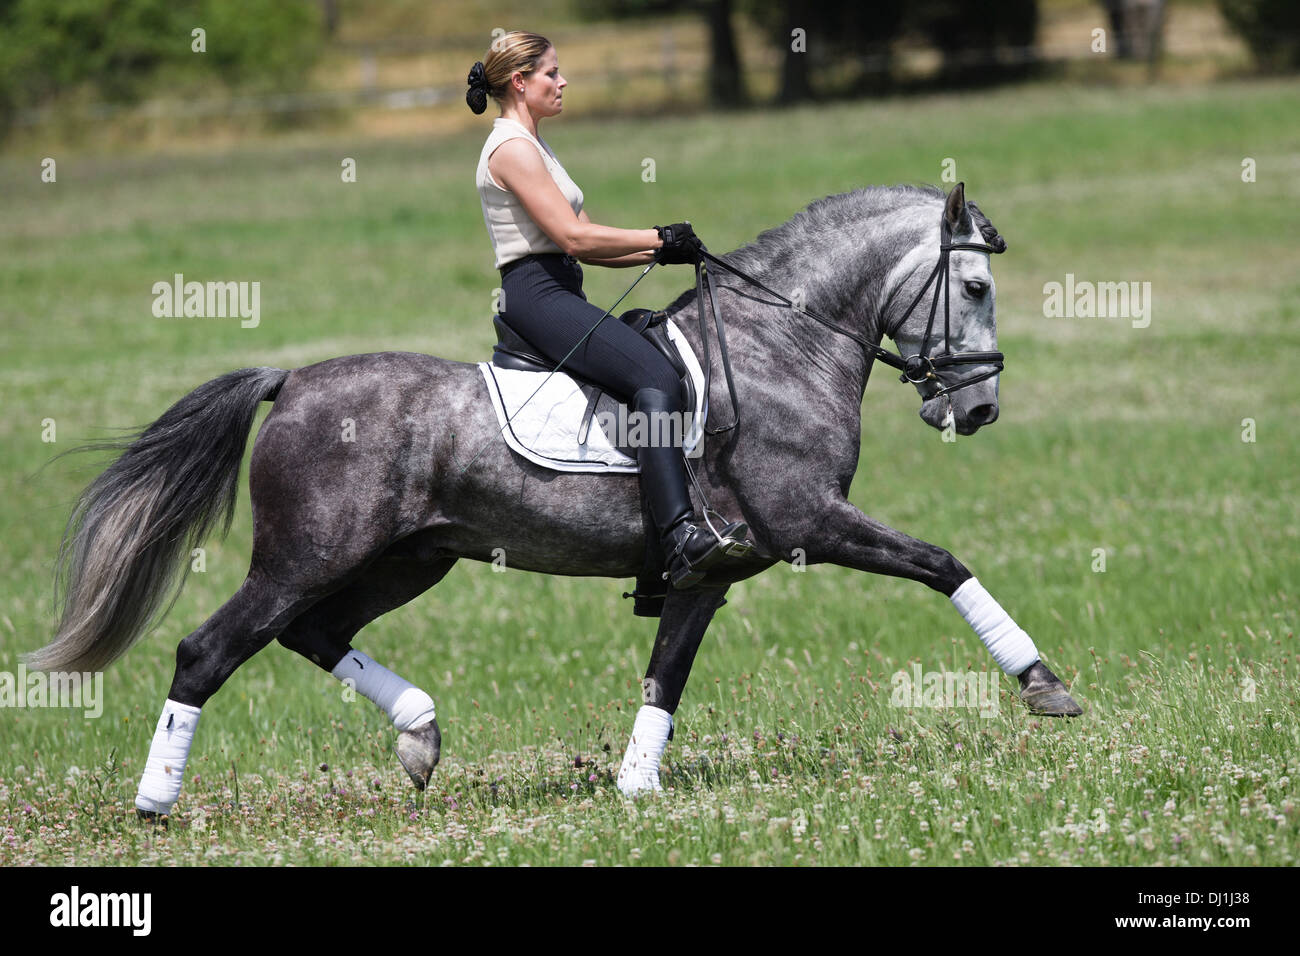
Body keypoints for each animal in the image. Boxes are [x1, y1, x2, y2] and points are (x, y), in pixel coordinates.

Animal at [30, 182, 1082, 817]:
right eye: (975, 286)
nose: (978, 407)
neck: (781, 344)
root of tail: (291, 382)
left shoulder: (711, 571)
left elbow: (666, 677)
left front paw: (636, 789)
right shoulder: (809, 524)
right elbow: (944, 564)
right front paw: (1043, 684)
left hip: (408, 560)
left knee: (314, 633)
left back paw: (420, 736)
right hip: (308, 555)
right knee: (208, 651)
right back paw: (157, 804)